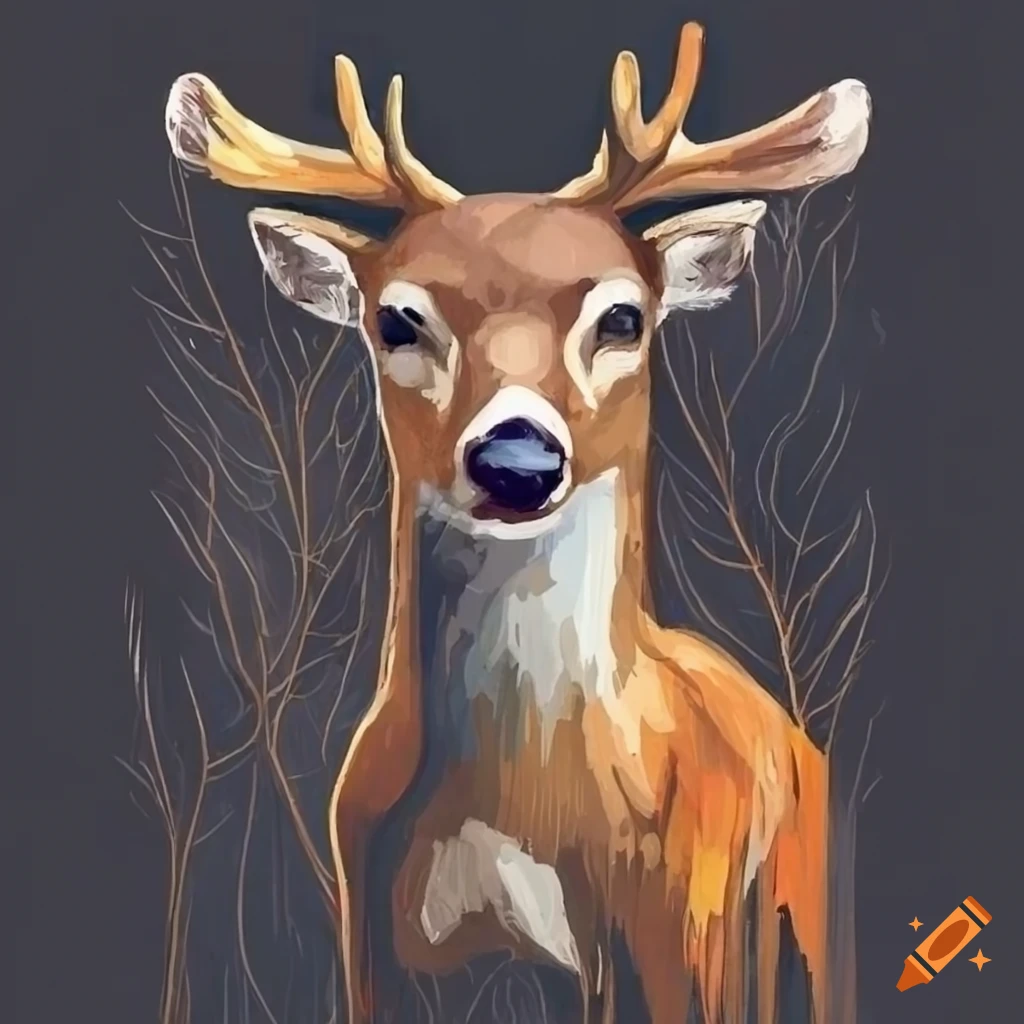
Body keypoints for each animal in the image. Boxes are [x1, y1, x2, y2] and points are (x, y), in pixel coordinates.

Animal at [164, 22, 870, 1024]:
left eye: (623, 316)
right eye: (397, 320)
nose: (517, 462)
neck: (520, 806)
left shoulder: (675, 934)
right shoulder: (371, 932)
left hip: (798, 925)